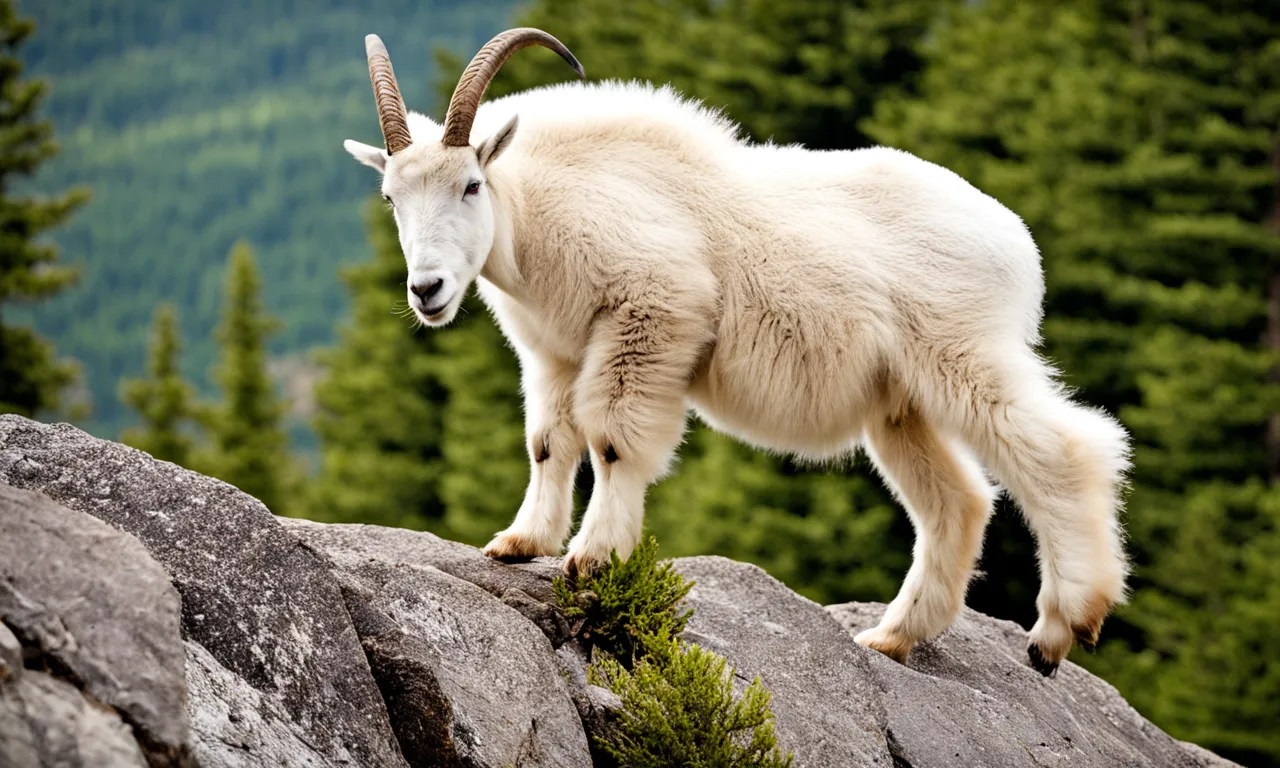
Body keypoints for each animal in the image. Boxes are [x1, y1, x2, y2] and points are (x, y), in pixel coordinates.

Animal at [342, 29, 1130, 675]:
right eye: (389, 198)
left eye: (471, 184)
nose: (428, 290)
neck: (542, 207)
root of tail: (1020, 246)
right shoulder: (555, 351)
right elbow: (548, 442)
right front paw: (521, 541)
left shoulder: (654, 311)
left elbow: (613, 441)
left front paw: (592, 558)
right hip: (900, 401)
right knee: (957, 501)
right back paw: (892, 637)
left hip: (965, 351)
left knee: (1063, 448)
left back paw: (1060, 628)